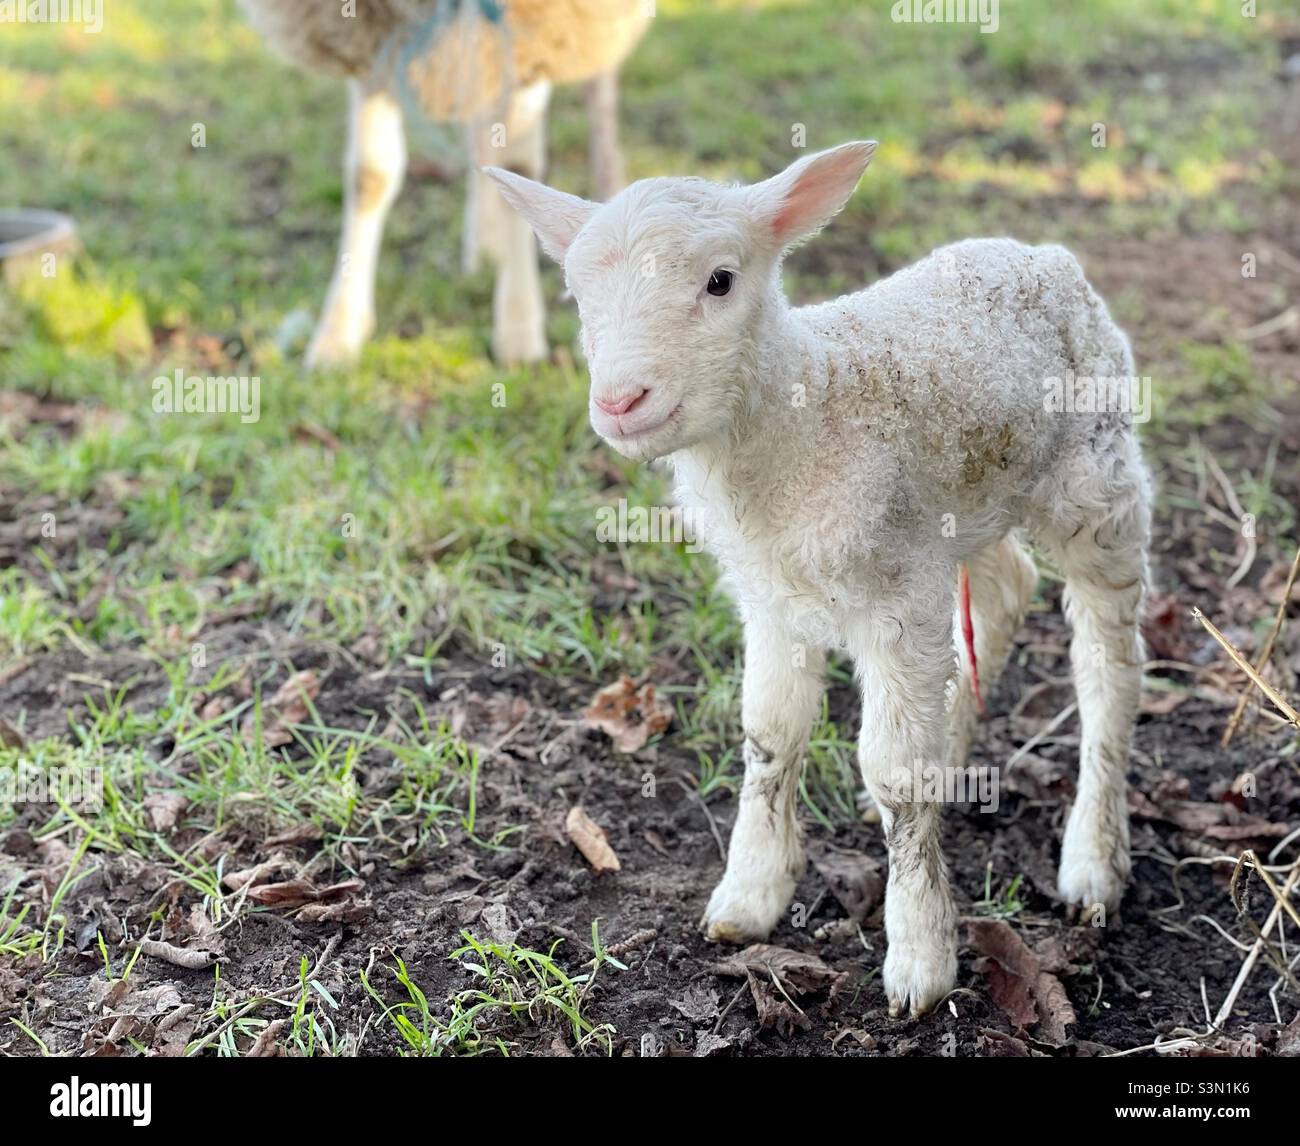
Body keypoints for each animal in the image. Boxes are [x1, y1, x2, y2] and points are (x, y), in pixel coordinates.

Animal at [237, 0, 650, 366]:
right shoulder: (370, 42)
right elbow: (370, 177)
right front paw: (337, 336)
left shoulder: (537, 35)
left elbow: (520, 167)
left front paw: (518, 332)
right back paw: (483, 248)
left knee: (599, 87)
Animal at [486, 142, 1153, 1017]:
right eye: (577, 295)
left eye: (721, 280)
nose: (621, 401)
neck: (806, 412)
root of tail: (1042, 254)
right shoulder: (772, 598)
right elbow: (770, 736)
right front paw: (749, 896)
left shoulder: (895, 592)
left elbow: (897, 772)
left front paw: (920, 960)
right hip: (967, 505)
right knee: (1004, 586)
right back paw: (955, 745)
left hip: (1095, 476)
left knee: (1108, 660)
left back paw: (1093, 862)